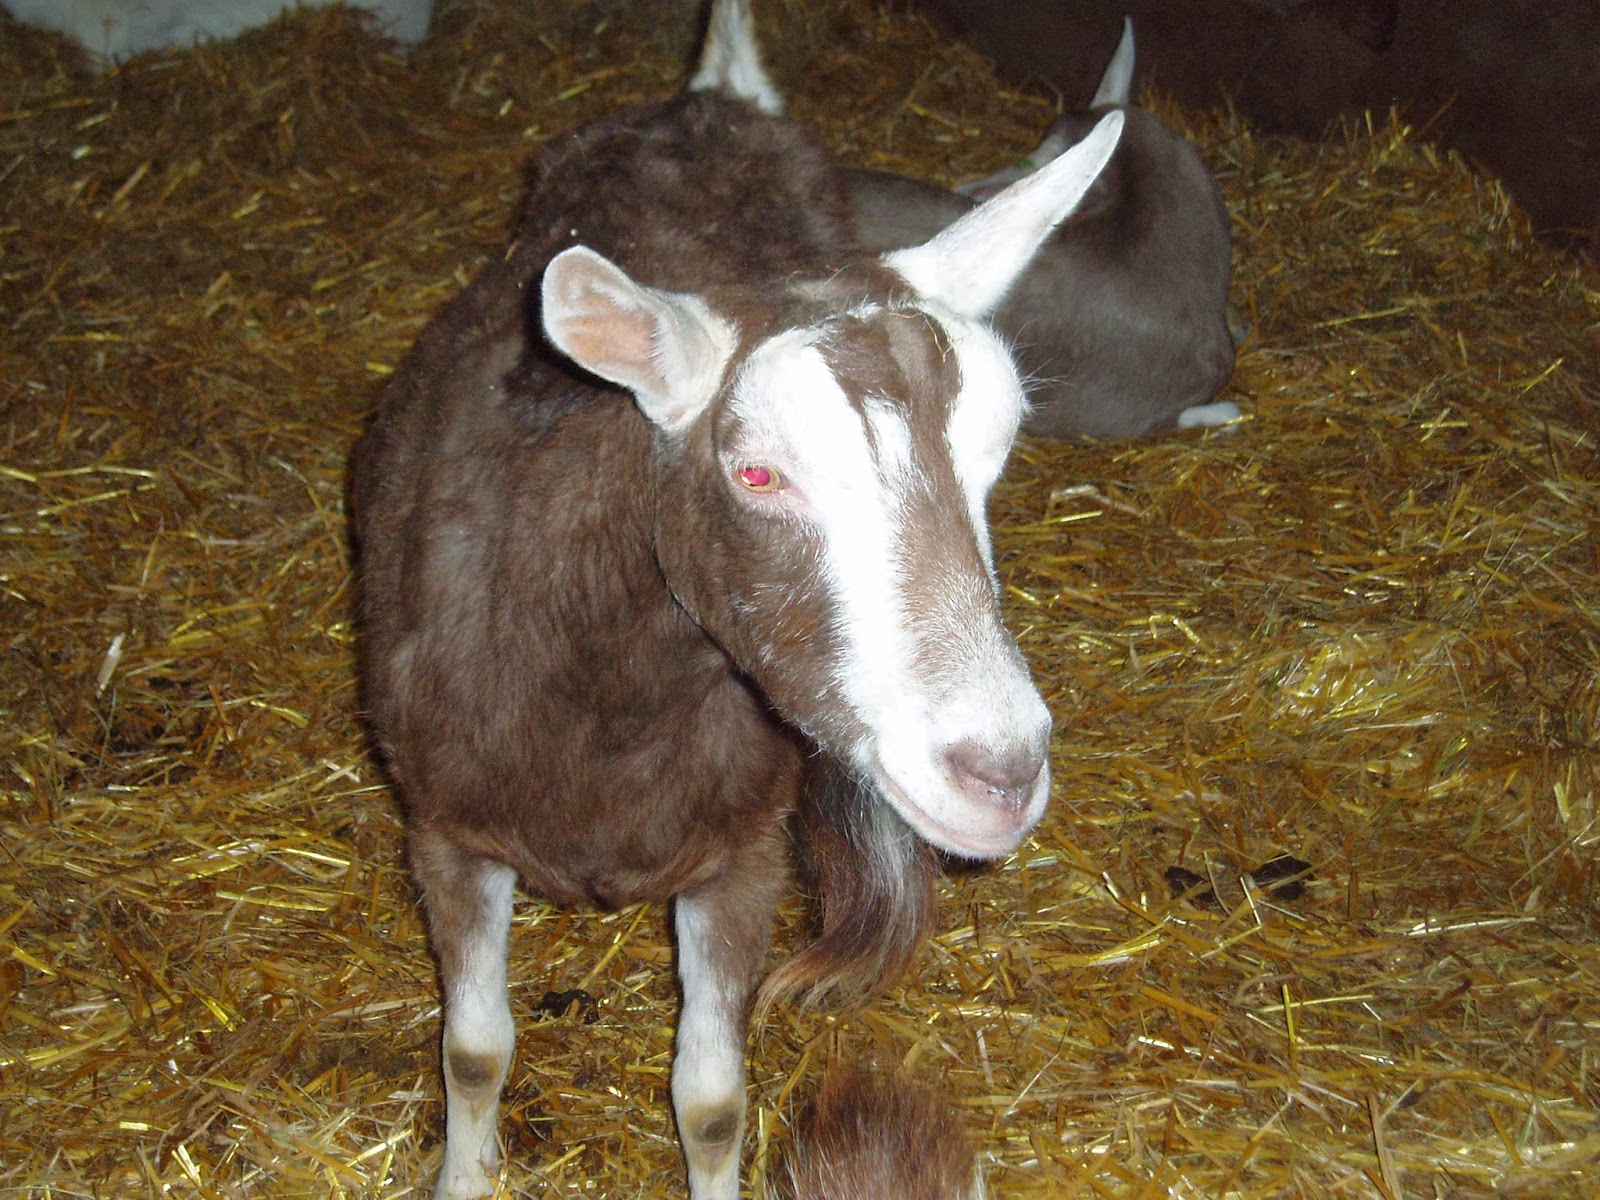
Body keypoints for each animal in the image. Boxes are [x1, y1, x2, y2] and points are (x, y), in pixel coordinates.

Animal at [349, 68, 1121, 1200]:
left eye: (1002, 448)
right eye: (756, 472)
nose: (1002, 771)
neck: (610, 712)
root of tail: (712, 96)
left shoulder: (743, 852)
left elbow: (710, 1106)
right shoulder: (445, 829)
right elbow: (474, 1051)